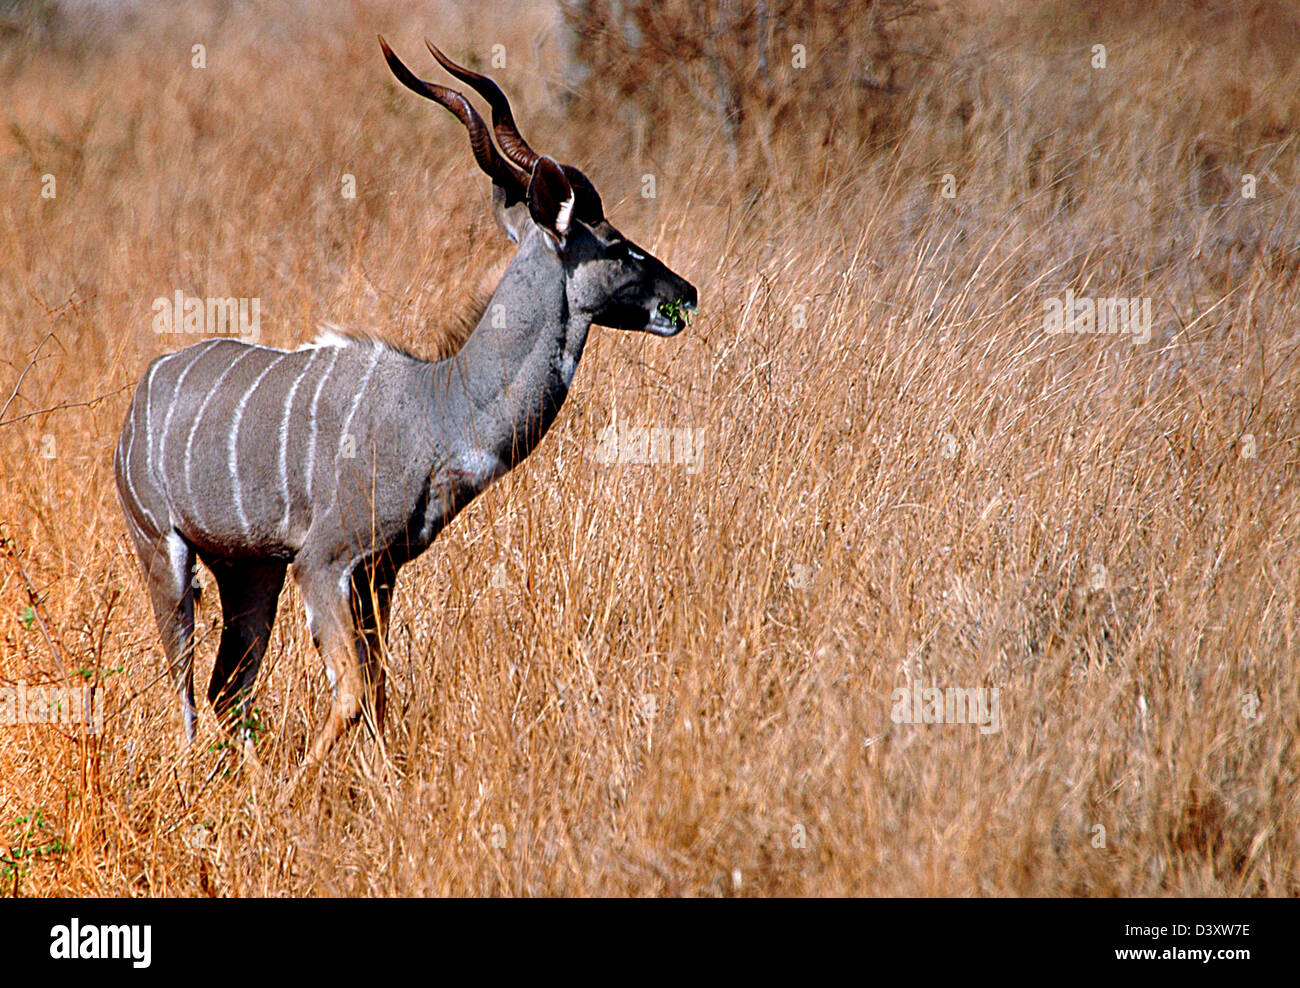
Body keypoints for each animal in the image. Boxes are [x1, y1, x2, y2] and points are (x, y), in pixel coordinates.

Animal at [112, 38, 697, 780]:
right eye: (618, 245)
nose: (687, 293)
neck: (435, 407)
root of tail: (141, 398)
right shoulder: (325, 562)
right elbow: (354, 695)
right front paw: (299, 793)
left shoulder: (378, 573)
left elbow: (382, 695)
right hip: (166, 556)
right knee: (189, 694)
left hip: (252, 574)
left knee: (227, 690)